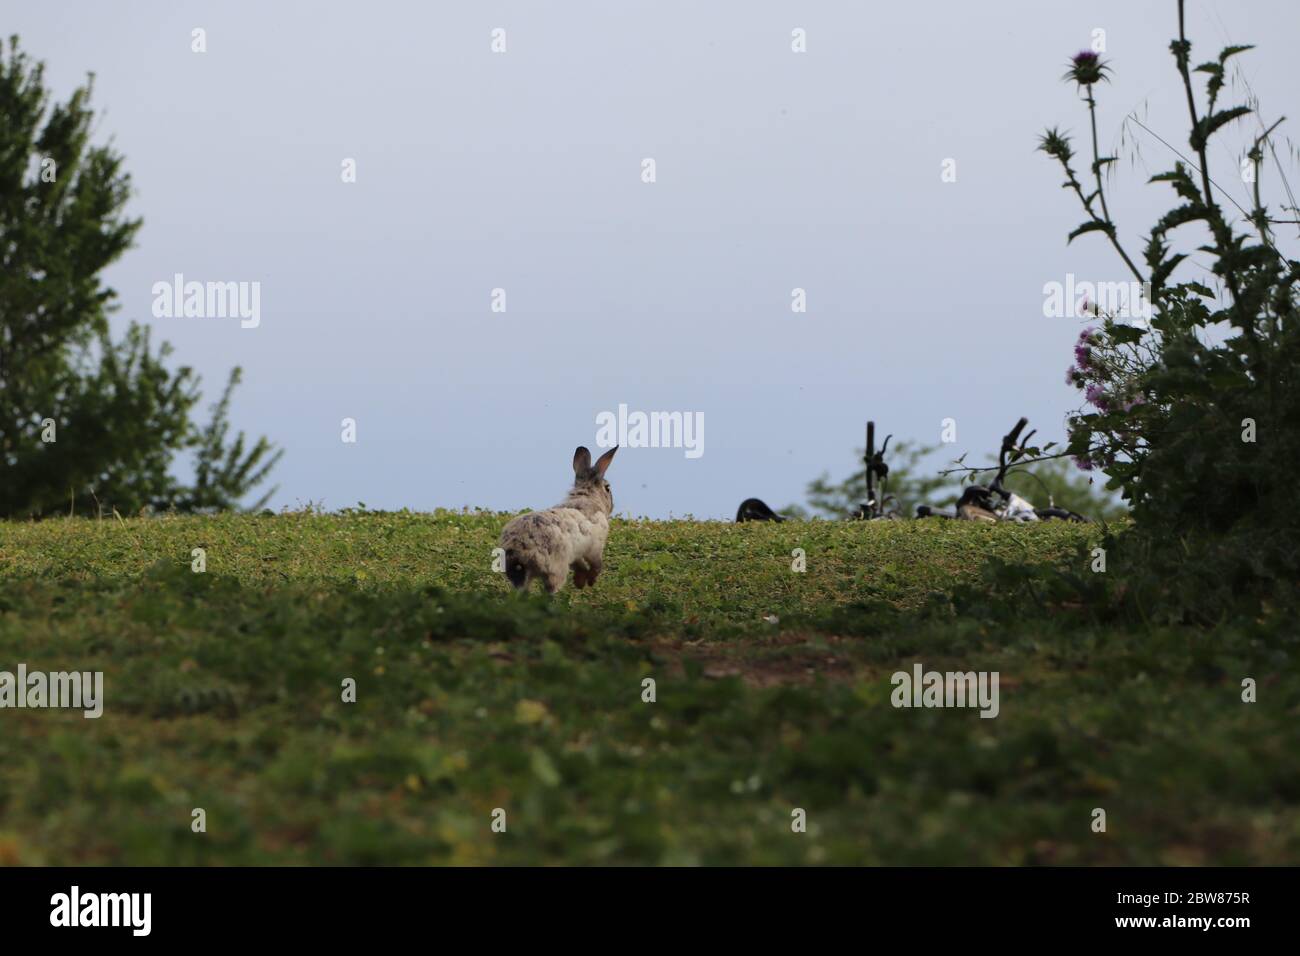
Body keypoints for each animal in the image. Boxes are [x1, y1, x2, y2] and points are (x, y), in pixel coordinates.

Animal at [500, 445, 618, 593]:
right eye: (608, 488)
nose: (613, 506)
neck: (587, 496)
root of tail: (519, 549)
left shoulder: (576, 554)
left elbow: (580, 565)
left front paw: (580, 583)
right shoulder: (595, 547)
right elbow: (596, 565)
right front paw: (590, 581)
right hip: (556, 568)